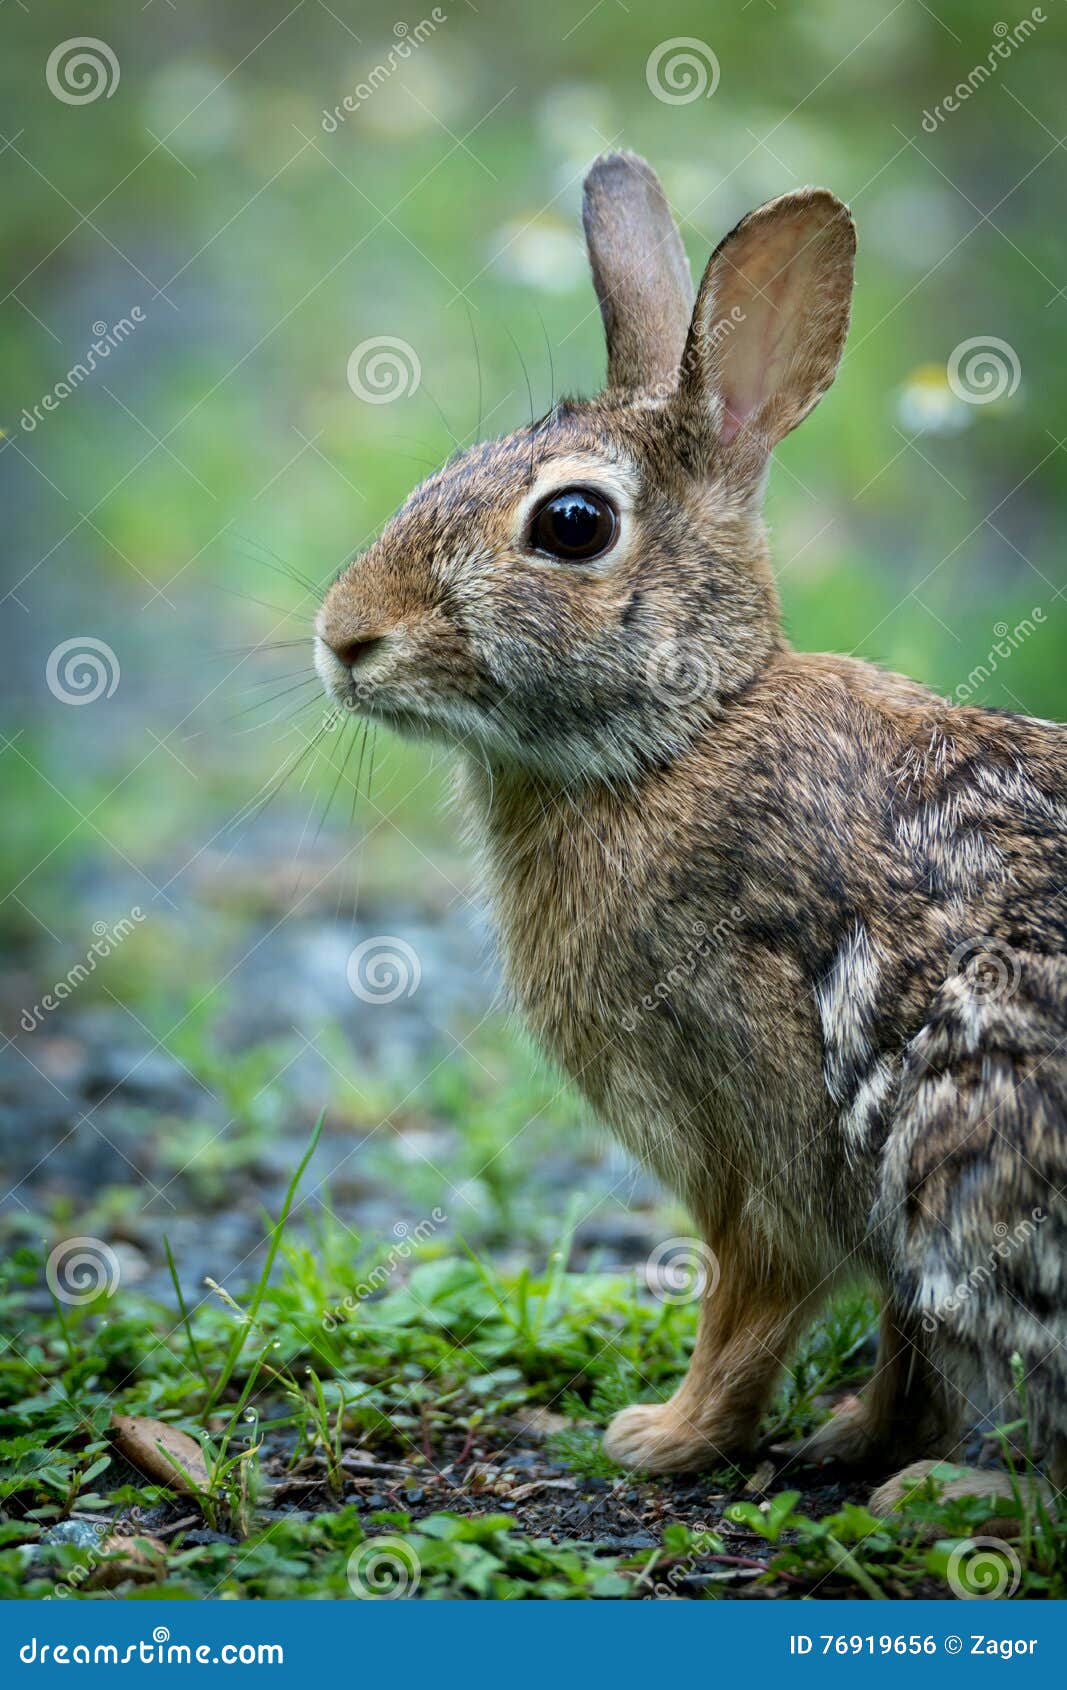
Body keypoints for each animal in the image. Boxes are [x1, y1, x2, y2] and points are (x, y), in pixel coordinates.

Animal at [316, 151, 1067, 1498]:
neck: (678, 735)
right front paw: (846, 1439)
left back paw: (948, 1496)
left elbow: (751, 1300)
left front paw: (662, 1437)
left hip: (964, 1149)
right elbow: (902, 1356)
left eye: (571, 525)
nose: (343, 636)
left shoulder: (763, 1135)